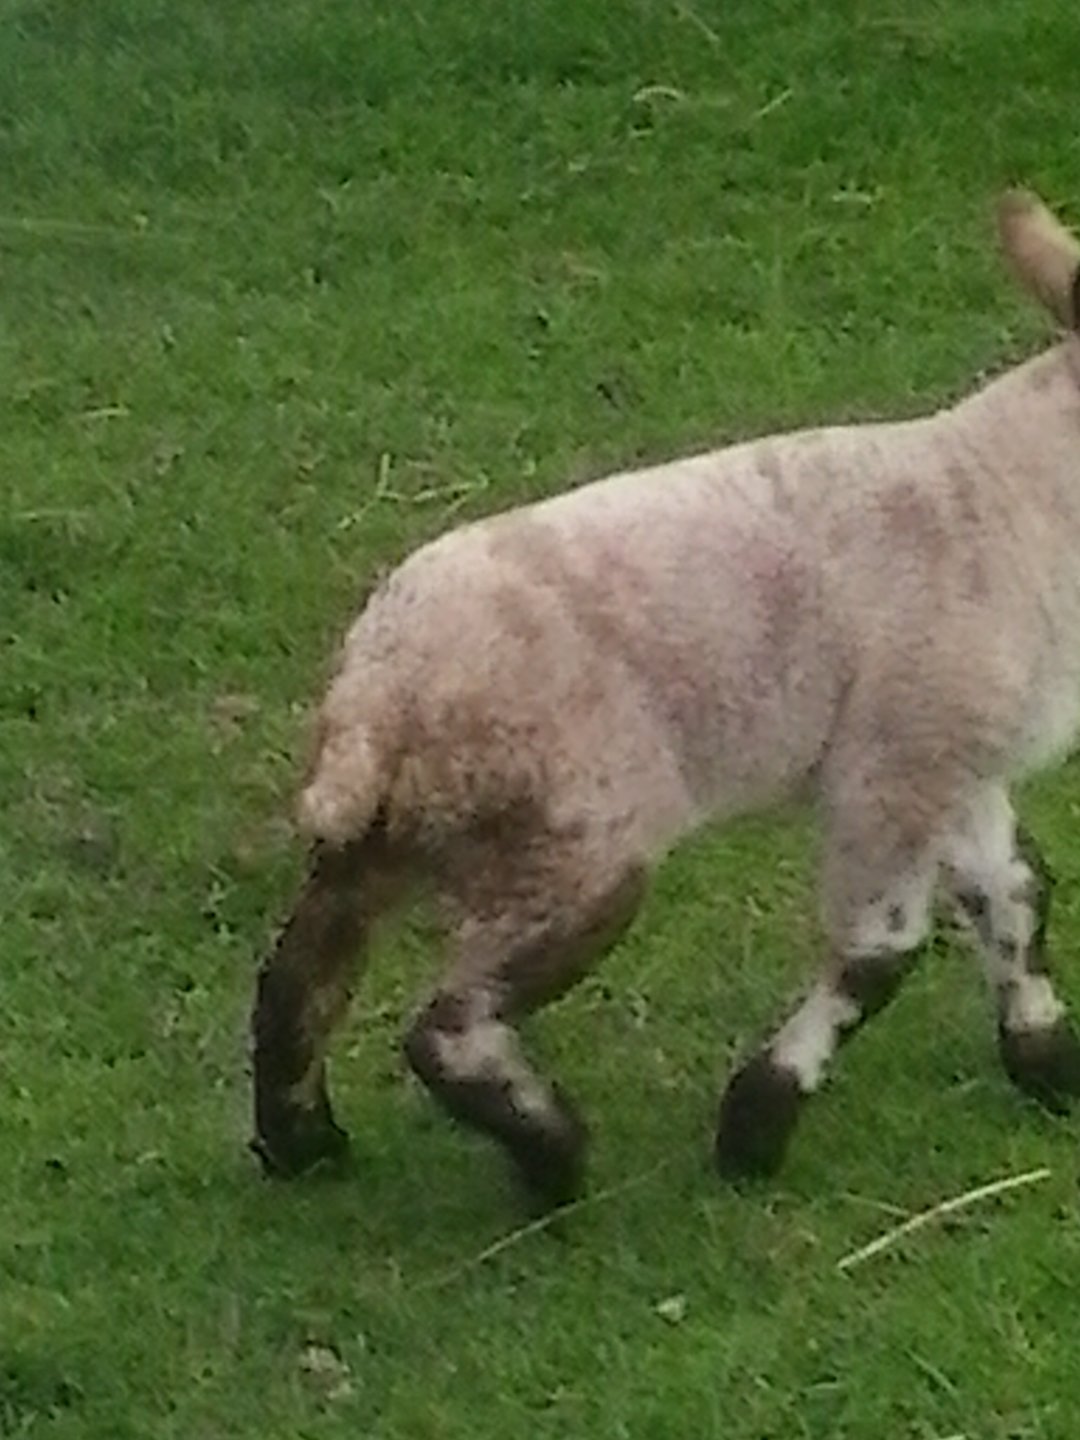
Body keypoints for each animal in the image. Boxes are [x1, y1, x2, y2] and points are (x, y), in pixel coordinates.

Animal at [251, 189, 1080, 1206]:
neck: (1015, 495)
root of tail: (378, 689)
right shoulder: (897, 759)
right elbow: (880, 953)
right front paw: (754, 1127)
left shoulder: (955, 759)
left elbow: (1015, 896)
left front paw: (1047, 1064)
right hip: (576, 831)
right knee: (444, 1020)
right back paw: (551, 1157)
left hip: (397, 828)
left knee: (302, 970)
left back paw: (305, 1144)